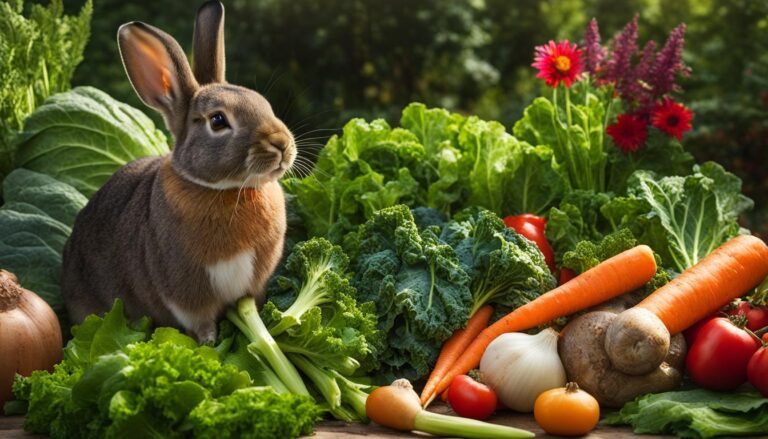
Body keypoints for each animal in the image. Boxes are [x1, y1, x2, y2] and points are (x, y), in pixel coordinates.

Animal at [60, 1, 295, 343]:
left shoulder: (253, 286)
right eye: (218, 121)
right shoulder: (186, 292)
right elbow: (200, 321)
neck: (225, 190)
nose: (282, 144)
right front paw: (211, 345)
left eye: (264, 103)